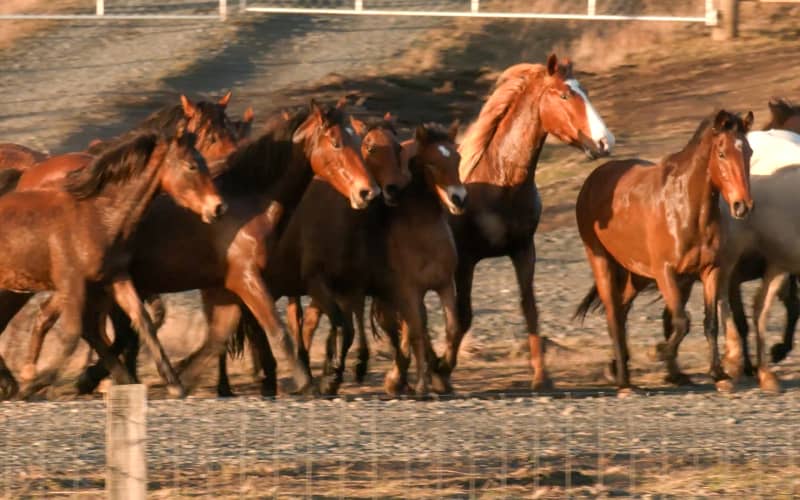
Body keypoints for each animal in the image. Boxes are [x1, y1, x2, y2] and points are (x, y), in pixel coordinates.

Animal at [0, 129, 225, 400]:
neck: (97, 216)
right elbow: (71, 333)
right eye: (191, 166)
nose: (218, 207)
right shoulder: (72, 282)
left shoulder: (116, 277)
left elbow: (142, 322)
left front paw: (173, 384)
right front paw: (33, 382)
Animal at [61, 101, 378, 397]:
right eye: (336, 142)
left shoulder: (224, 288)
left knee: (105, 330)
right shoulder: (247, 279)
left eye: (358, 142)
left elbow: (218, 339)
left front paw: (184, 378)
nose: (368, 192)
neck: (247, 198)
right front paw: (309, 384)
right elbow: (277, 331)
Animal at [434, 53, 615, 392]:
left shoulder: (523, 250)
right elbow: (462, 317)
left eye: (584, 90)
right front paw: (442, 372)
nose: (605, 142)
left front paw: (542, 377)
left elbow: (530, 310)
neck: (500, 183)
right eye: (564, 95)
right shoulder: (466, 261)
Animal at [573, 110, 753, 392]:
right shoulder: (665, 272)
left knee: (621, 312)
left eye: (749, 152)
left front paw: (718, 374)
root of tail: (593, 180)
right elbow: (681, 321)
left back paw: (618, 369)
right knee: (613, 314)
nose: (742, 205)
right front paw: (658, 352)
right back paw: (624, 381)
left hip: (636, 274)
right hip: (602, 261)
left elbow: (709, 323)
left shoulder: (709, 271)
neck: (686, 209)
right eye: (722, 153)